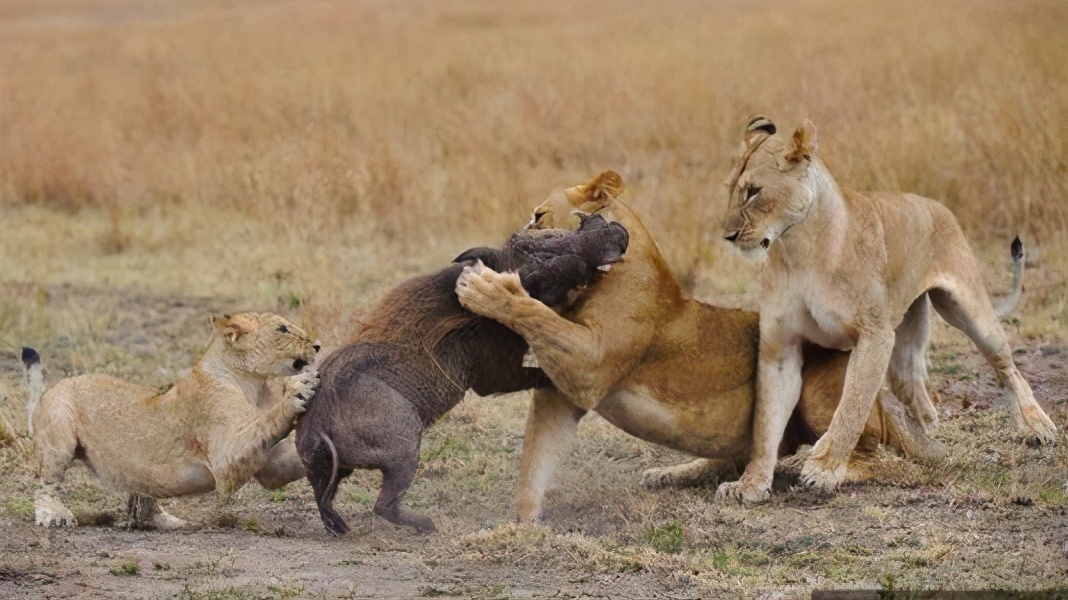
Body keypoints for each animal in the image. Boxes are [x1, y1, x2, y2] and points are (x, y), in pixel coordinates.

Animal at [23, 312, 320, 529]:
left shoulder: (269, 466)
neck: (257, 384)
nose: (318, 346)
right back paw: (54, 515)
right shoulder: (224, 461)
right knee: (45, 484)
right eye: (283, 329)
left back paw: (166, 521)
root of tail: (52, 387)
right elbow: (265, 422)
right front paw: (299, 390)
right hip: (59, 435)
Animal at [454, 171, 946, 523]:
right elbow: (534, 461)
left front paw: (486, 288)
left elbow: (537, 315)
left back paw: (825, 470)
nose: (513, 238)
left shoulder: (589, 363)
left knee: (865, 452)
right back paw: (673, 473)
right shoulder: (561, 394)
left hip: (824, 392)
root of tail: (887, 400)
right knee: (740, 456)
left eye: (539, 216)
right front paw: (519, 523)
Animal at [715, 115, 1058, 504]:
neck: (798, 250)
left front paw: (824, 469)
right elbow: (766, 424)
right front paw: (750, 484)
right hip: (906, 338)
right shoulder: (780, 346)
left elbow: (852, 404)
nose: (727, 236)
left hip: (968, 310)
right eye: (733, 190)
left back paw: (1038, 426)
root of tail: (936, 205)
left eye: (754, 191)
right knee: (915, 388)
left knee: (1008, 370)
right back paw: (926, 434)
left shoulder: (874, 334)